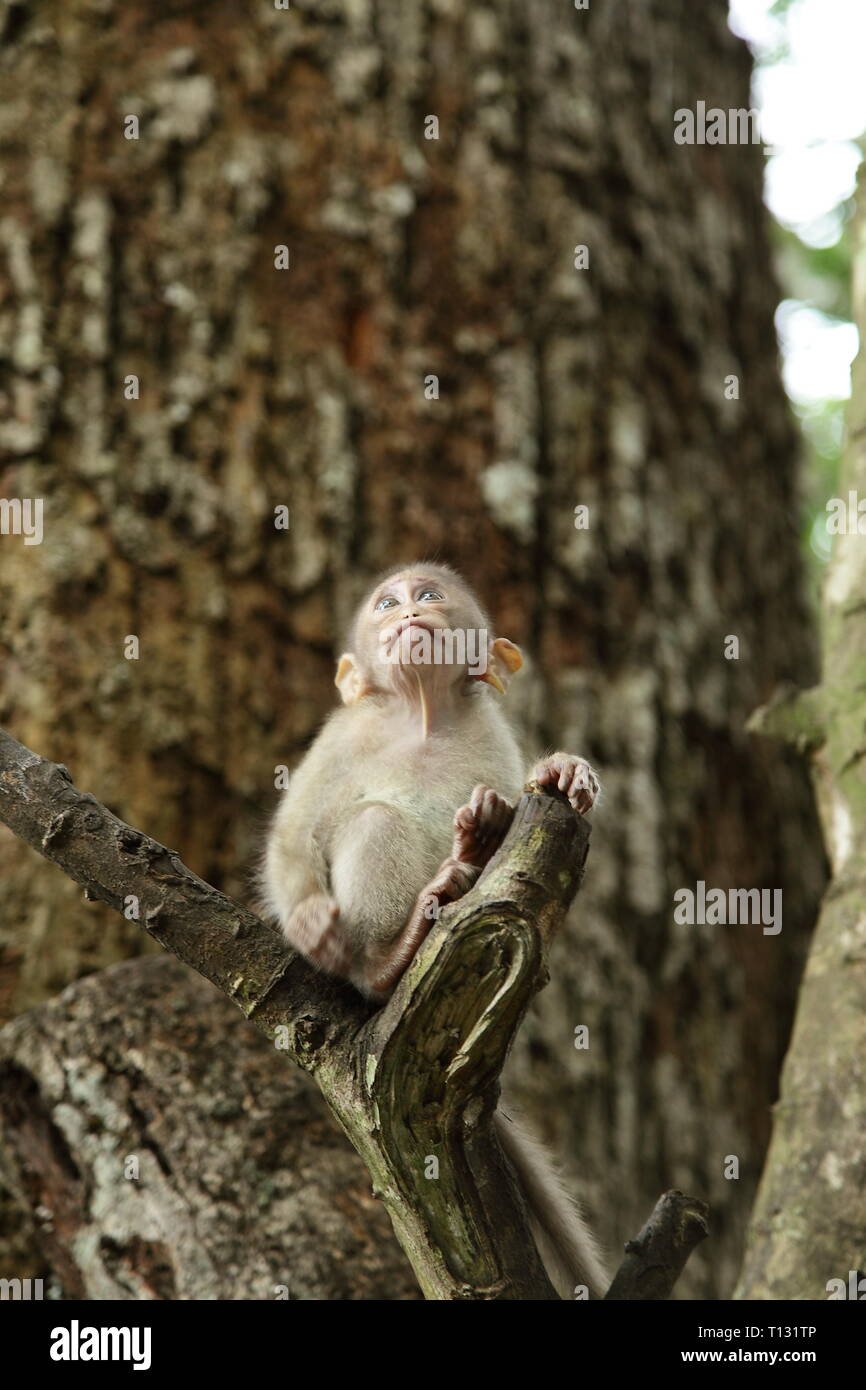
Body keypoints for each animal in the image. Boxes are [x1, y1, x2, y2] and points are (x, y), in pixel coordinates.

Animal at [260, 562, 608, 1298]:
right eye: (386, 602)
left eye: (430, 596)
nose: (408, 614)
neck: (419, 717)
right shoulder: (343, 734)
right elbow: (294, 829)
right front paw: (306, 919)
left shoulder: (491, 728)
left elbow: (518, 781)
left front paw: (559, 769)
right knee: (374, 822)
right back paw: (388, 961)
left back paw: (473, 851)